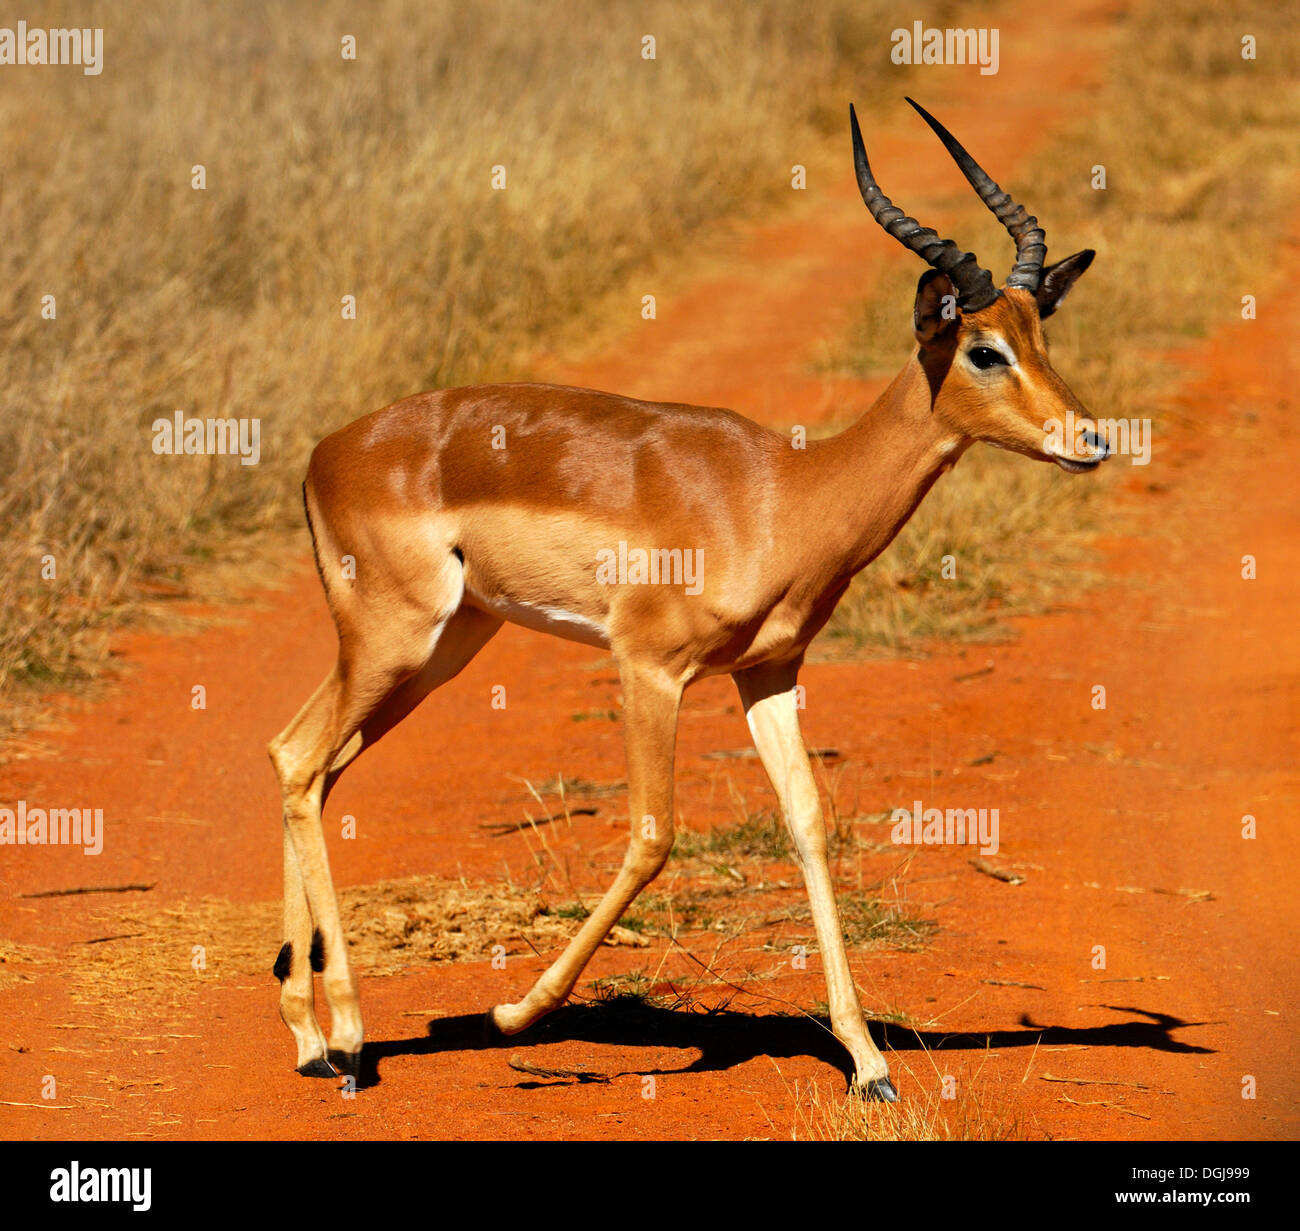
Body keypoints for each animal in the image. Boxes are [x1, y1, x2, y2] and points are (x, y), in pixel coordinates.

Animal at [268, 98, 1107, 1101]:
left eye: (1042, 338)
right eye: (983, 349)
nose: (1091, 438)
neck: (785, 494)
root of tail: (324, 453)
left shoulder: (768, 675)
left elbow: (809, 824)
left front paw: (868, 1064)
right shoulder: (649, 667)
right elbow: (651, 834)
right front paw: (512, 1011)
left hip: (437, 652)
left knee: (305, 762)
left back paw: (313, 1039)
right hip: (395, 640)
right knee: (301, 760)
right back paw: (351, 1037)